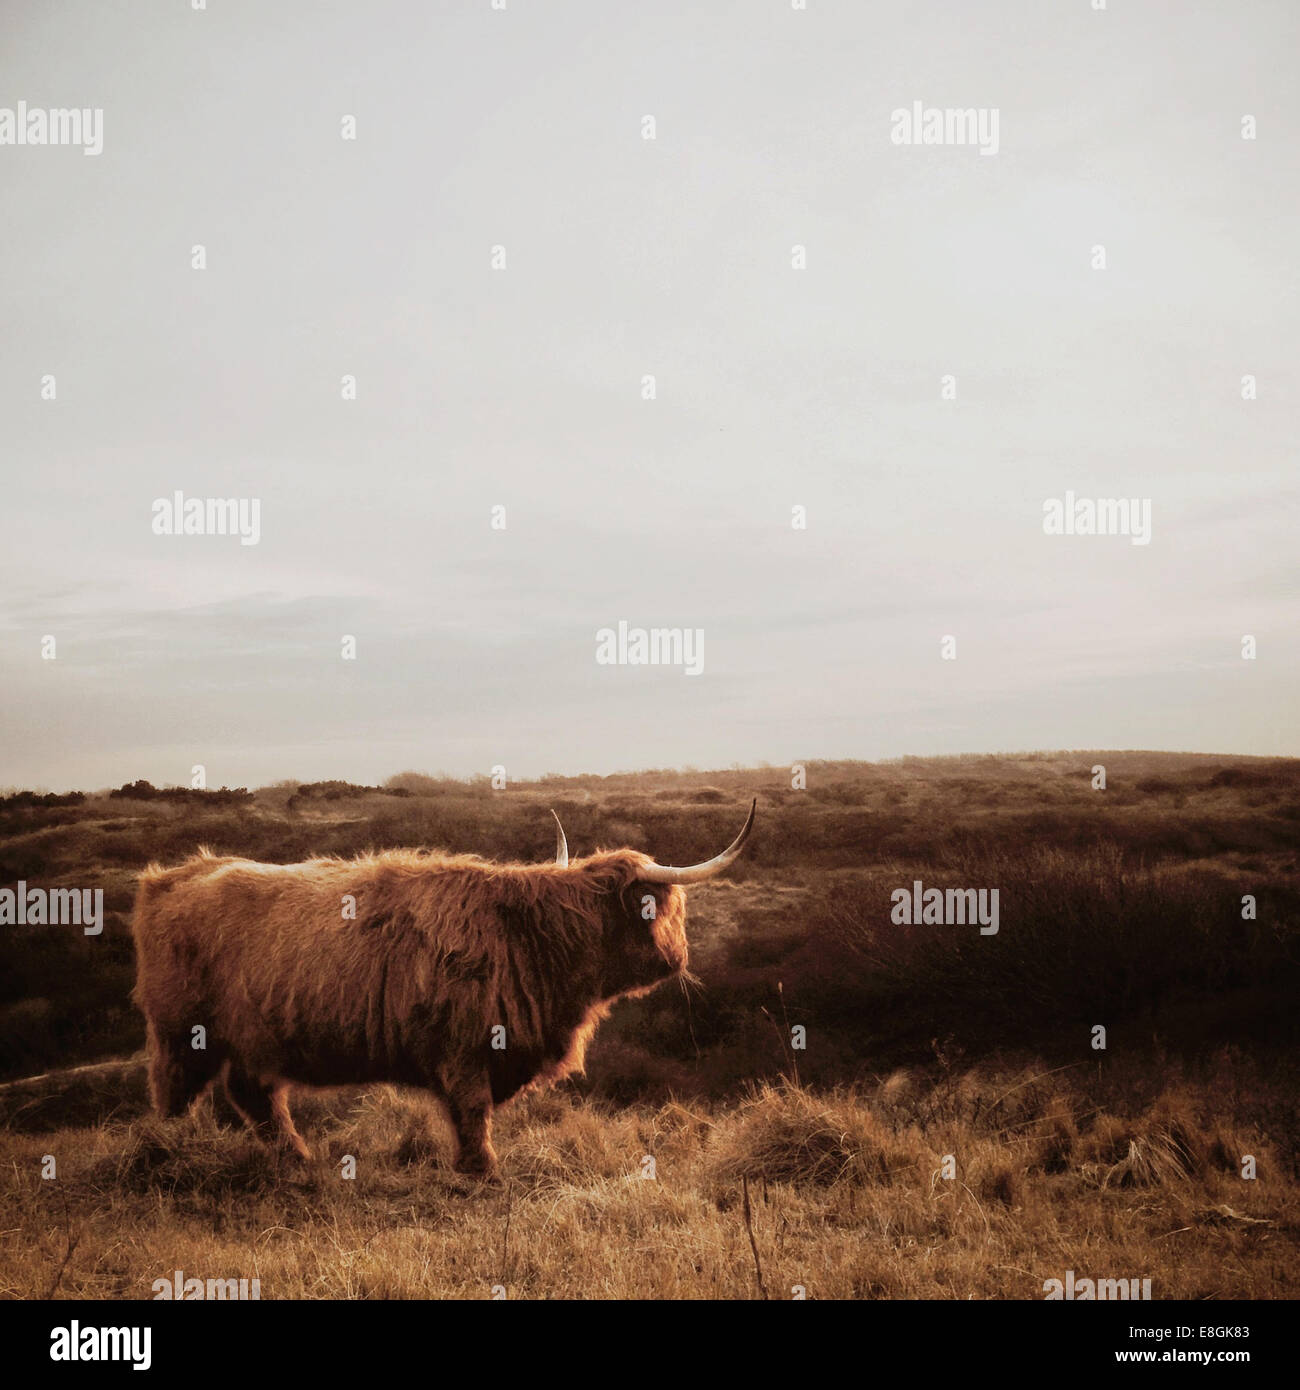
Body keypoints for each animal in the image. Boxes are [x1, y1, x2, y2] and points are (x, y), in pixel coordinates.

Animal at [130, 800, 756, 1177]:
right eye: (665, 909)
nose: (680, 958)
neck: (532, 937)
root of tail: (172, 876)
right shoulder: (464, 1047)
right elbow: (473, 1110)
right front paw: (483, 1169)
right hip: (182, 1032)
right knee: (174, 1091)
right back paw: (168, 1153)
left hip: (253, 1039)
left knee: (255, 1095)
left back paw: (298, 1160)